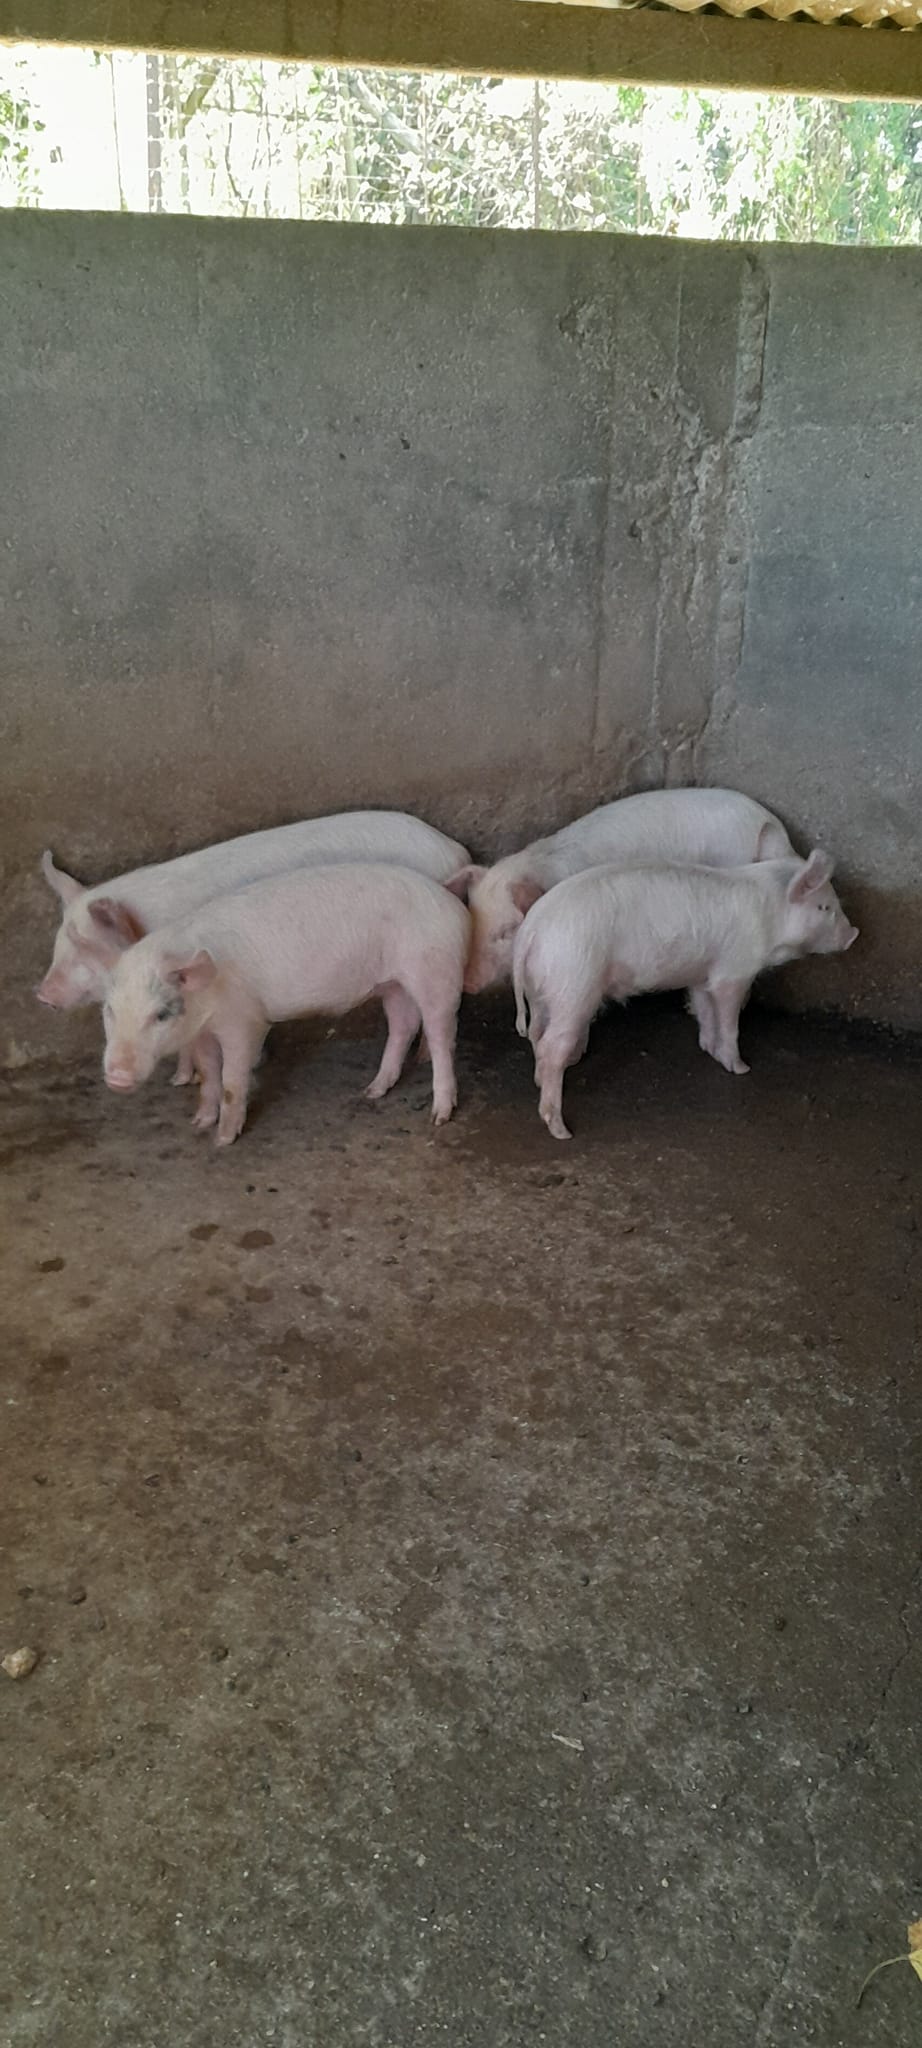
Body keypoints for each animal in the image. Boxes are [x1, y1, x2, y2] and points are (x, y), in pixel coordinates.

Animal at [102, 863, 470, 1145]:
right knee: (403, 1024)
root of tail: (450, 900)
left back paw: (439, 1116)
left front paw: (223, 1139)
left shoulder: (244, 1021)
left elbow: (232, 1079)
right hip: (393, 985)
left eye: (161, 1014)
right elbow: (208, 1073)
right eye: (109, 1010)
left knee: (441, 1036)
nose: (116, 1076)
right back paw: (372, 1091)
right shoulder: (202, 1031)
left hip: (437, 972)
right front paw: (200, 1122)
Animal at [512, 850, 858, 1140]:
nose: (854, 935)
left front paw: (708, 1048)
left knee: (537, 1033)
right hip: (574, 984)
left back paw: (539, 1081)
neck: (769, 918)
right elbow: (730, 1020)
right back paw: (560, 1129)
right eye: (824, 907)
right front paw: (740, 1067)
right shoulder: (734, 970)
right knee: (552, 1045)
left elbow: (704, 1010)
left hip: (543, 989)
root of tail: (530, 930)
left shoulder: (701, 975)